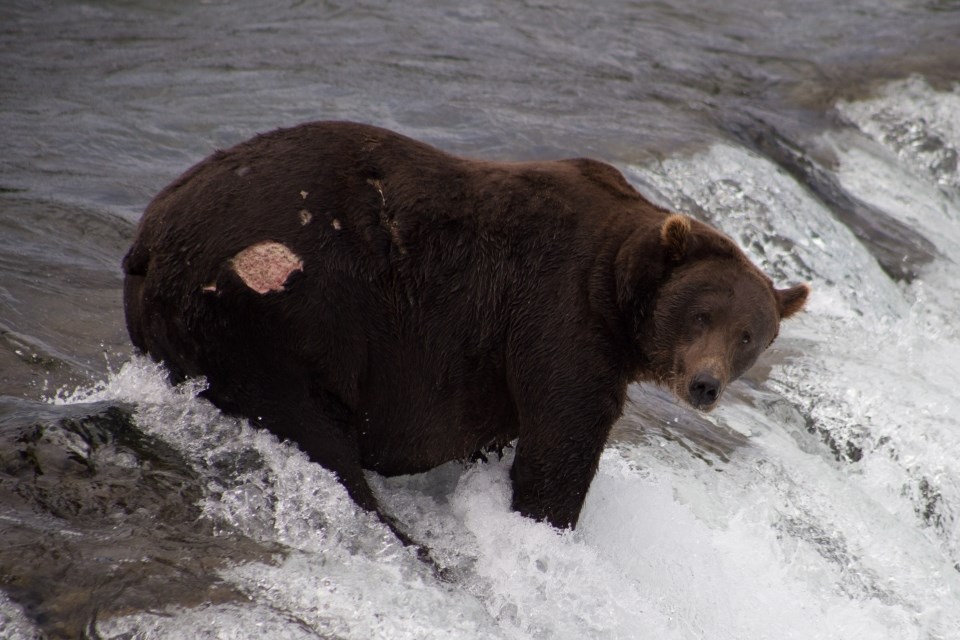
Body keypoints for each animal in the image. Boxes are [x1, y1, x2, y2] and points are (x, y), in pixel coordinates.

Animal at [123, 121, 808, 541]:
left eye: (749, 336)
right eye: (702, 315)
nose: (705, 385)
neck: (616, 290)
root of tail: (148, 236)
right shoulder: (557, 315)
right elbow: (563, 438)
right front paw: (546, 523)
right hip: (274, 315)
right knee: (314, 433)